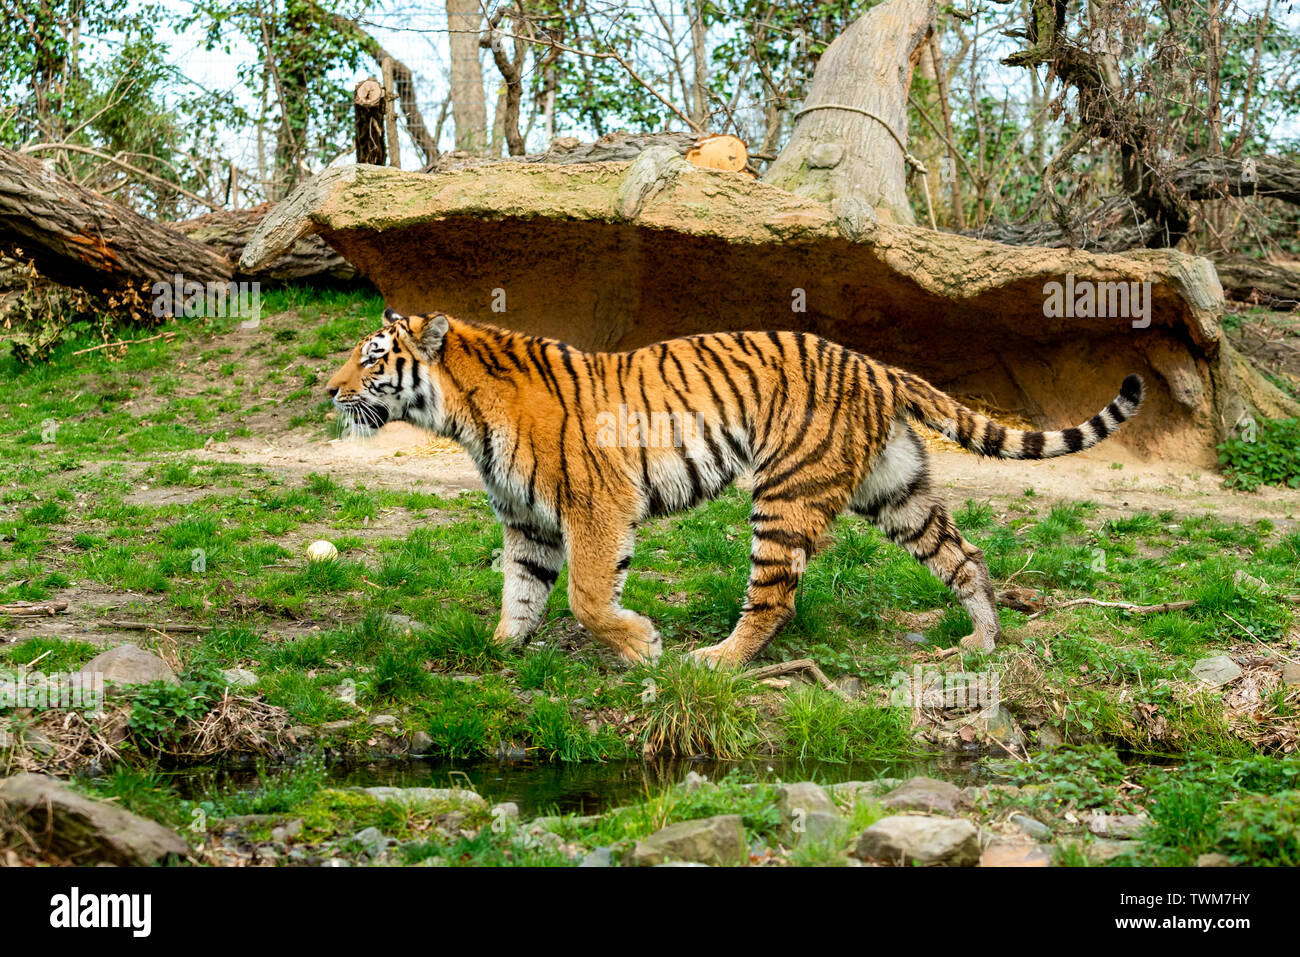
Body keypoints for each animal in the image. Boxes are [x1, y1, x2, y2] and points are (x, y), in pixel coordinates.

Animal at [327, 308, 1144, 668]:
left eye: (371, 359)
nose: (327, 390)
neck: (462, 415)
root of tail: (877, 366)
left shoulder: (596, 508)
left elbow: (588, 597)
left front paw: (643, 646)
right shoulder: (528, 522)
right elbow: (521, 592)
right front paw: (498, 648)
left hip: (786, 491)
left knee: (775, 597)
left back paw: (715, 659)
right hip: (896, 490)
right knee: (963, 555)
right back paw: (981, 639)